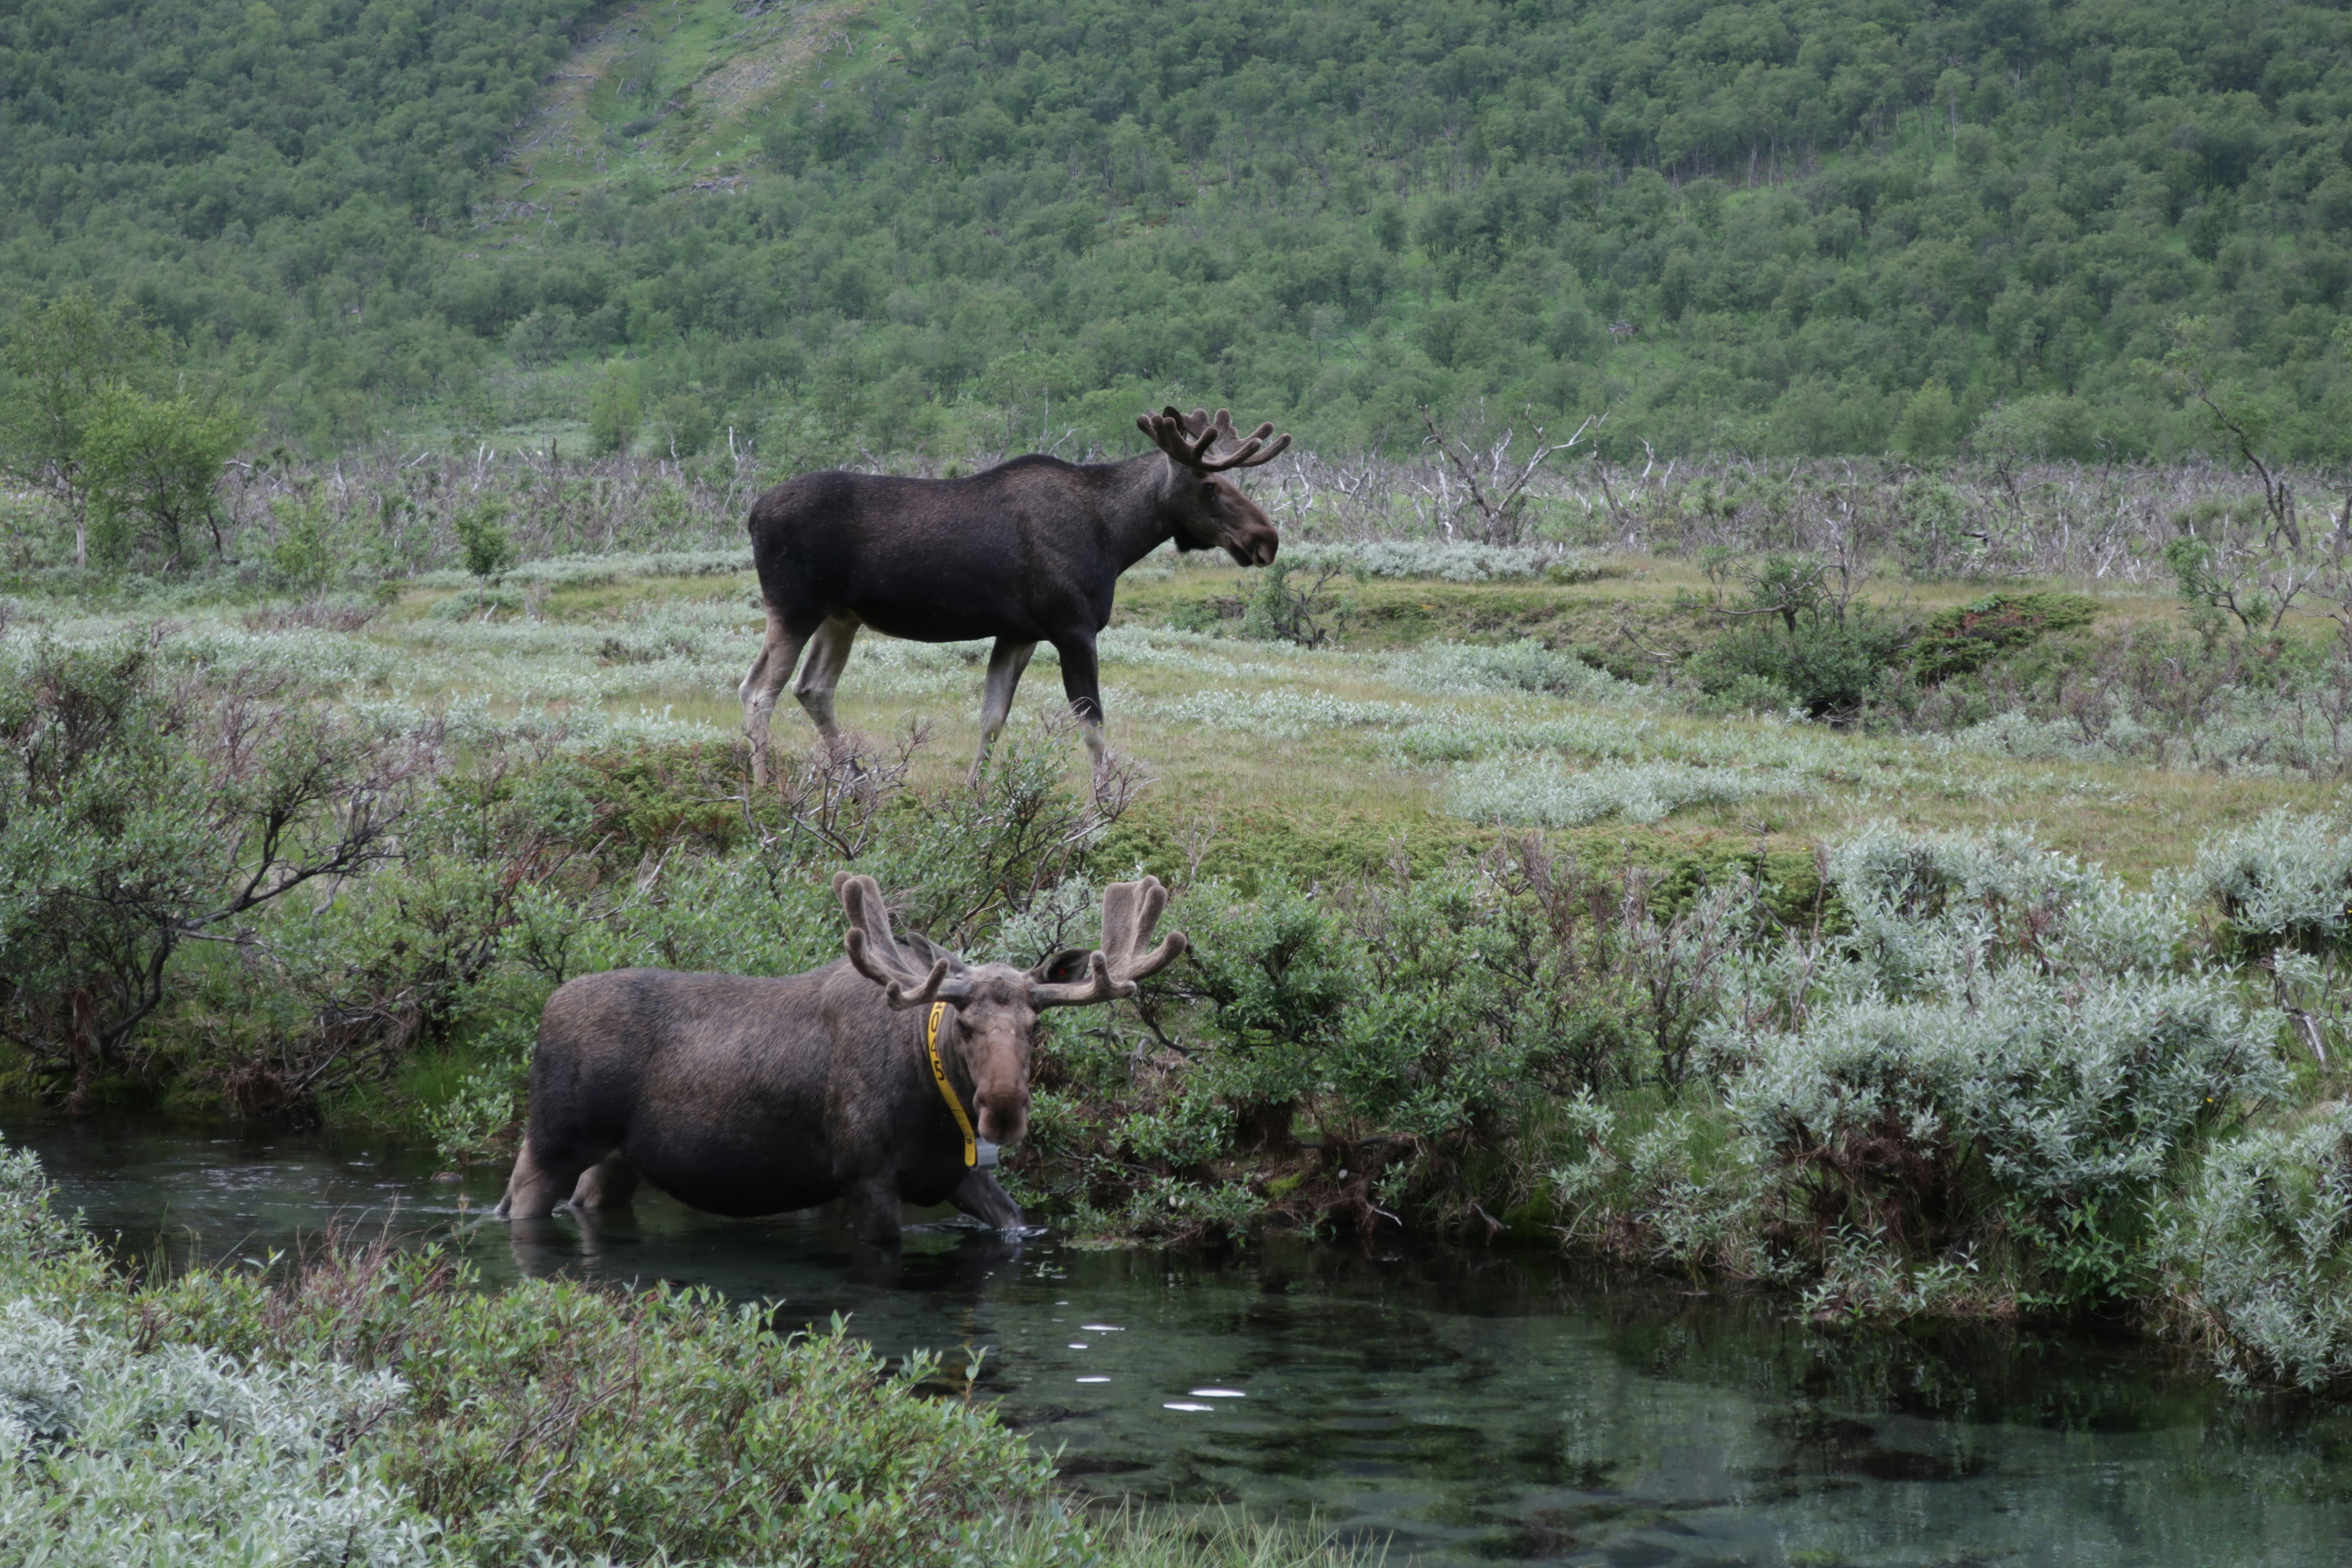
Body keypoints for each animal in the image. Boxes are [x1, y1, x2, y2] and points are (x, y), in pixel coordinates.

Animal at [494, 872, 1186, 1252]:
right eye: (963, 1024)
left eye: (1035, 1027)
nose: (1004, 1111)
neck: (937, 1112)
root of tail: (545, 1010)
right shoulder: (865, 1175)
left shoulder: (960, 1177)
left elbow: (1019, 1222)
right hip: (552, 1140)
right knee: (517, 1199)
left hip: (617, 1161)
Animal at [739, 407, 1290, 785]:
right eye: (1209, 485)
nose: (1266, 538)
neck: (1117, 538)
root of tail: (751, 515)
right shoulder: (1073, 628)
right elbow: (1092, 724)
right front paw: (1103, 808)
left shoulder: (1019, 634)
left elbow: (991, 719)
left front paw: (976, 797)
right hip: (796, 607)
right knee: (762, 692)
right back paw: (765, 786)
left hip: (839, 616)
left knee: (806, 688)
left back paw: (856, 780)